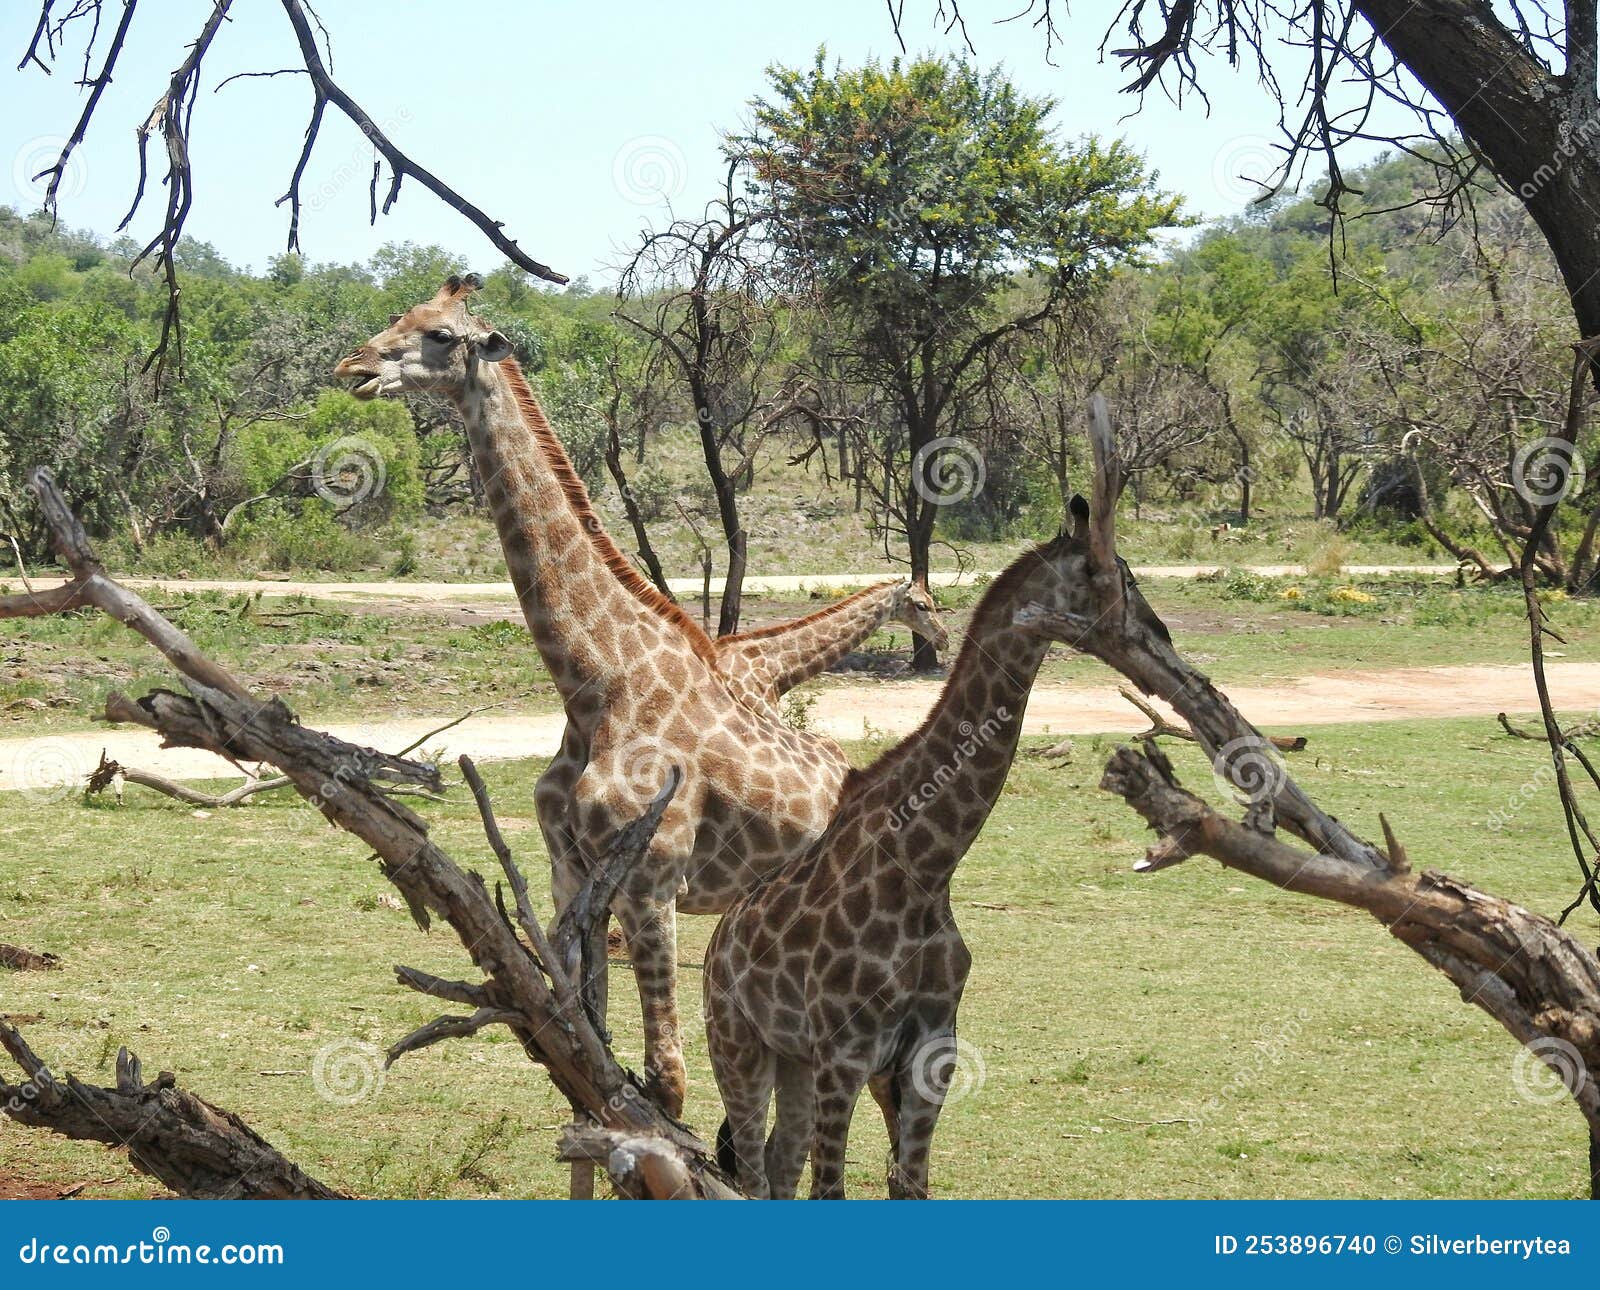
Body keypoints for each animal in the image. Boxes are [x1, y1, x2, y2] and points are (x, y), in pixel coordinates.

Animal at [334, 276, 850, 1116]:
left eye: (441, 335)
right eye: (396, 316)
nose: (355, 368)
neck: (593, 681)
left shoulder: (651, 883)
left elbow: (666, 1080)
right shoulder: (570, 874)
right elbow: (581, 1048)